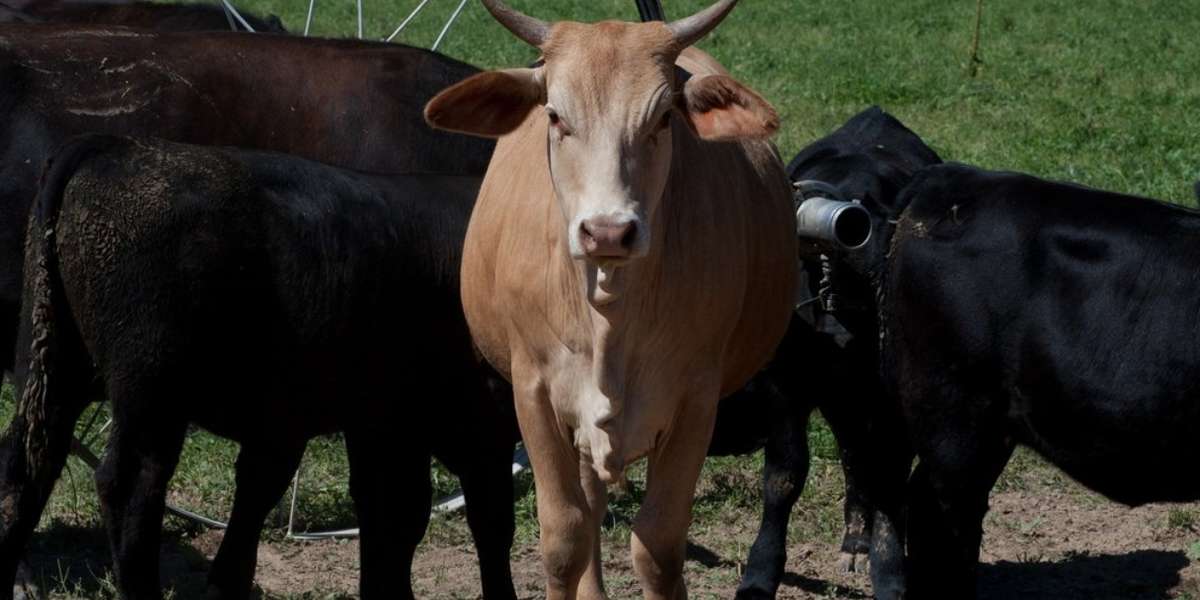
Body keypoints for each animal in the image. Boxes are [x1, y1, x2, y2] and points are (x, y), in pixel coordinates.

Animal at [1, 133, 519, 600]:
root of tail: (112, 145)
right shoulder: (478, 422)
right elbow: (482, 523)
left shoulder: (378, 425)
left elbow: (385, 518)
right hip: (150, 394)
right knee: (129, 485)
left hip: (50, 368)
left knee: (25, 467)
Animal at [423, 1, 798, 598]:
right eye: (555, 116)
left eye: (663, 117)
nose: (607, 232)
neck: (609, 314)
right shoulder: (533, 391)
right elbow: (564, 539)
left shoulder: (696, 399)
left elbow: (658, 546)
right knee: (590, 504)